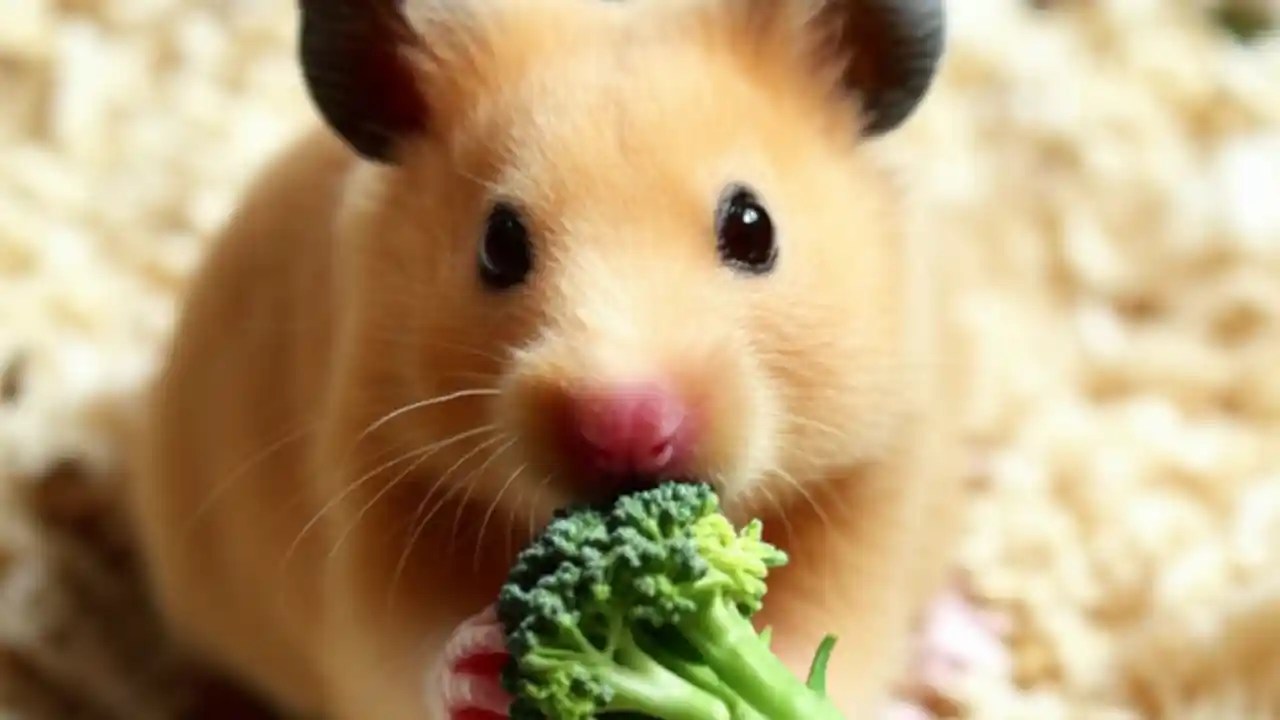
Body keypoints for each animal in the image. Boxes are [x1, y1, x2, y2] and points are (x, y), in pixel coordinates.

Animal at [121, 0, 957, 718]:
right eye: (499, 243)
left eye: (753, 227)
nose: (626, 423)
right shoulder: (378, 486)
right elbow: (409, 658)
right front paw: (482, 659)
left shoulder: (872, 480)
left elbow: (823, 641)